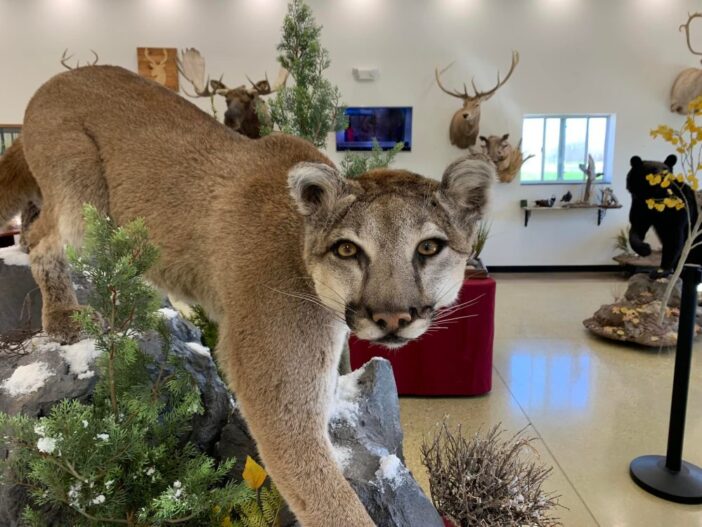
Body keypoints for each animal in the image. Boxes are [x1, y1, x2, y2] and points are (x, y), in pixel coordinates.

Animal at [0, 65, 493, 526]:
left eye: (428, 247)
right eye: (348, 250)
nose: (391, 317)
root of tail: (51, 84)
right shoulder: (274, 384)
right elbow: (327, 498)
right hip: (82, 199)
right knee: (41, 235)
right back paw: (64, 316)